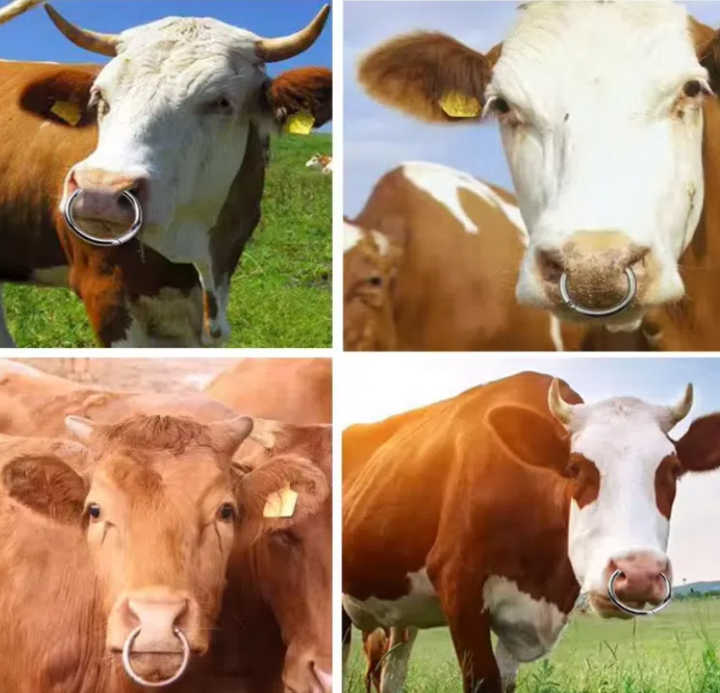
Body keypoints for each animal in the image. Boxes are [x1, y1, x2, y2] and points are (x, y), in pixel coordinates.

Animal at [343, 371, 720, 693]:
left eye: (673, 470)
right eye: (575, 467)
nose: (639, 574)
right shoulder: (459, 588)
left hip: (400, 614)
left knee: (391, 673)